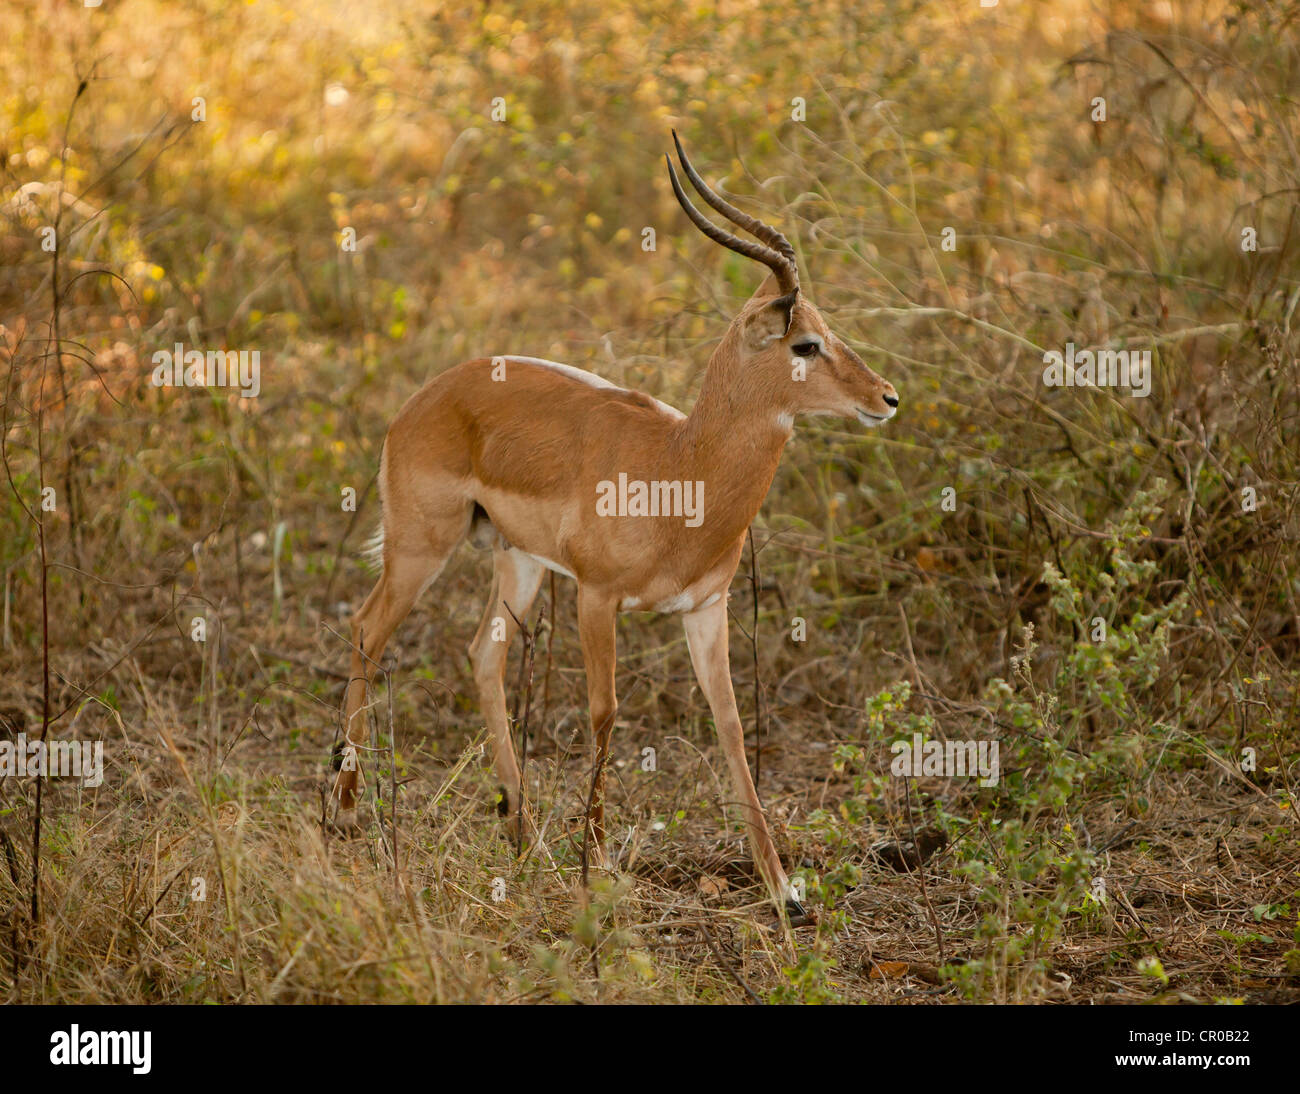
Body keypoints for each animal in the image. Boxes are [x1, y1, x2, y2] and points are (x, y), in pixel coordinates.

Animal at [329, 133, 899, 916]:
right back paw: (349, 812)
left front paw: (783, 888)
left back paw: (523, 833)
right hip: (422, 548)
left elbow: (731, 725)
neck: (681, 467)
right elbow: (605, 712)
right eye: (804, 344)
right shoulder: (598, 598)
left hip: (517, 561)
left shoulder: (706, 608)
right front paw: (594, 865)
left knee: (482, 655)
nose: (888, 397)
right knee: (366, 631)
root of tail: (423, 397)